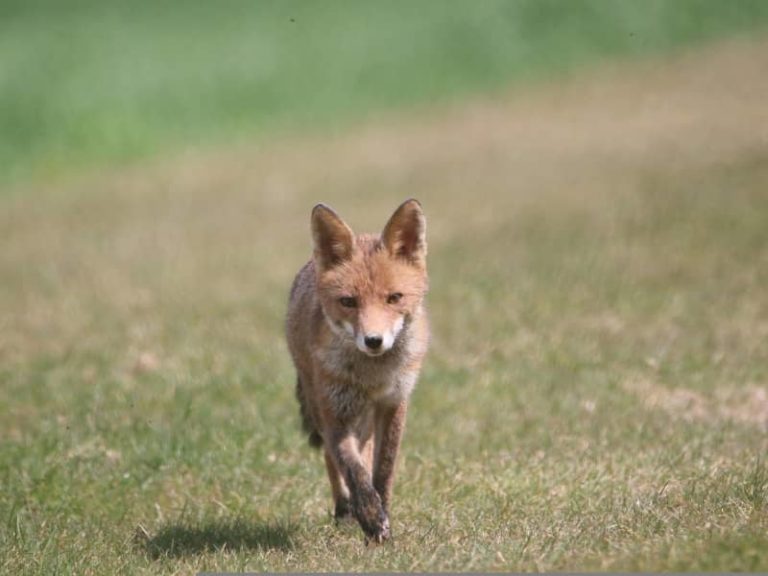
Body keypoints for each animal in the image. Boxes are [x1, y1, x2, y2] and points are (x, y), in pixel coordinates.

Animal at [285, 198, 429, 543]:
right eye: (348, 301)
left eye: (394, 298)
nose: (373, 340)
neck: (373, 376)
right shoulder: (335, 413)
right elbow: (351, 466)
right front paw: (370, 517)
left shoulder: (393, 404)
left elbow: (383, 469)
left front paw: (382, 512)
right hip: (323, 404)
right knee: (332, 458)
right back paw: (344, 510)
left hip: (364, 417)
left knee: (365, 448)